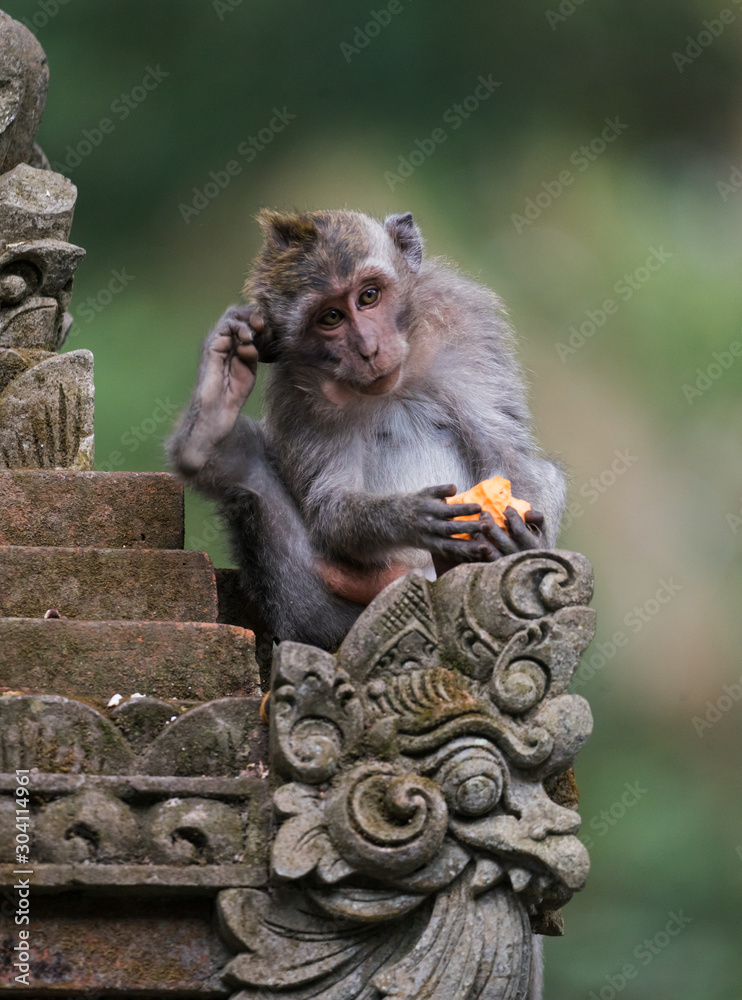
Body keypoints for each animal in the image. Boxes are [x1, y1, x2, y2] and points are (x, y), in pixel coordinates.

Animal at [167, 209, 566, 652]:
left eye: (369, 296)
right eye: (331, 317)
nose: (368, 349)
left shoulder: (465, 329)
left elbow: (509, 456)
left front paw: (521, 544)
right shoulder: (299, 391)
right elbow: (330, 504)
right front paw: (407, 516)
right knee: (251, 478)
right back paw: (208, 425)